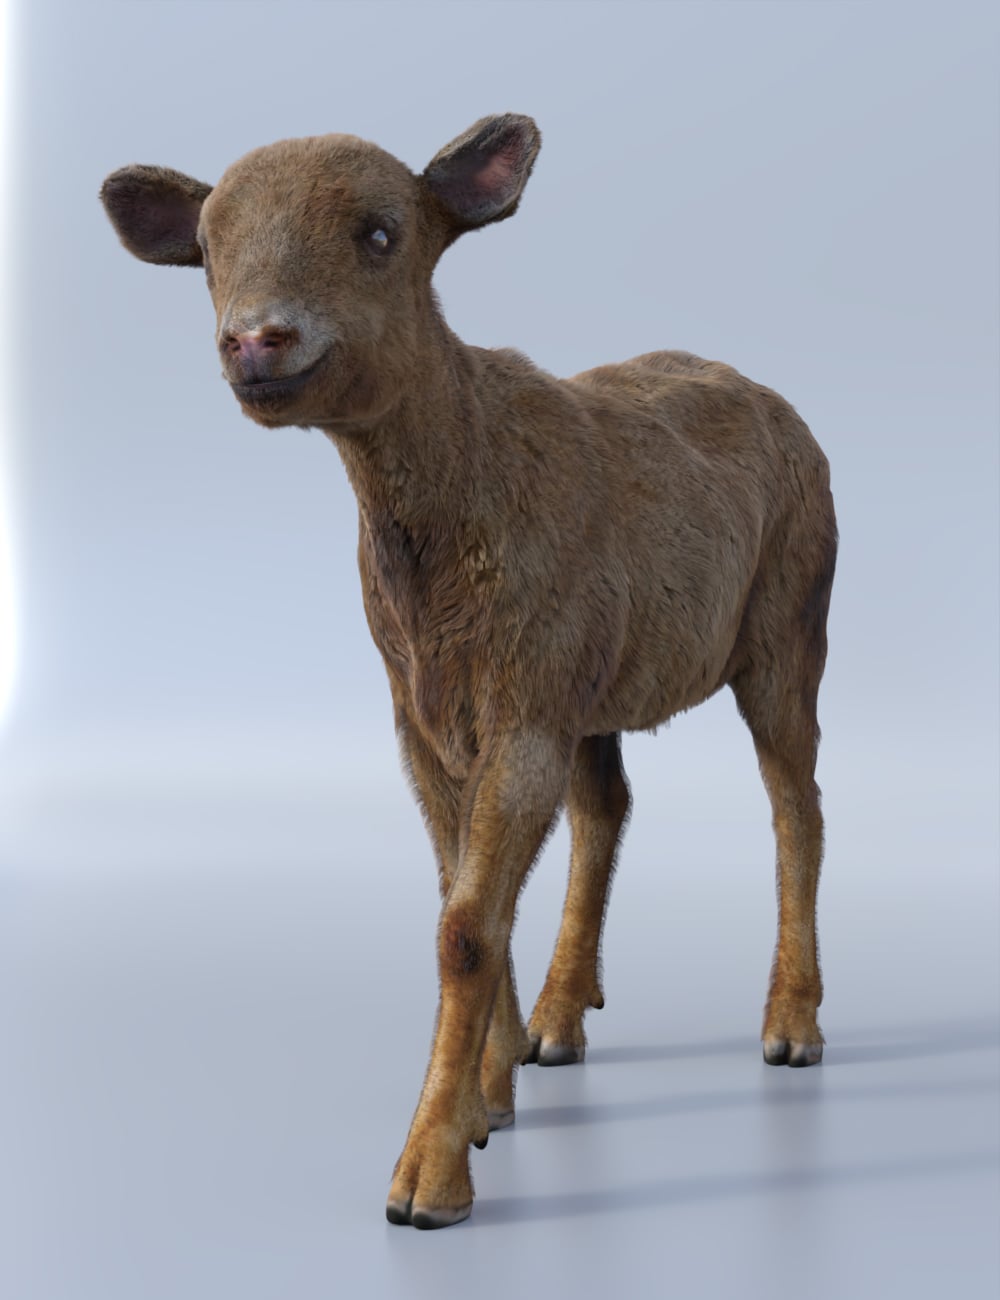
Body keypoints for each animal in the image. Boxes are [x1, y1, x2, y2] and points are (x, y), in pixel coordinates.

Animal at [100, 114, 837, 1229]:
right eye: (210, 246)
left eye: (379, 233)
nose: (256, 339)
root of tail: (774, 398)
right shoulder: (429, 715)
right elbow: (467, 896)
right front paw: (491, 1099)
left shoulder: (521, 706)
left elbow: (462, 929)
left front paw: (429, 1176)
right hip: (596, 672)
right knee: (609, 804)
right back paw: (560, 1020)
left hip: (790, 617)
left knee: (796, 803)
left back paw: (791, 1022)